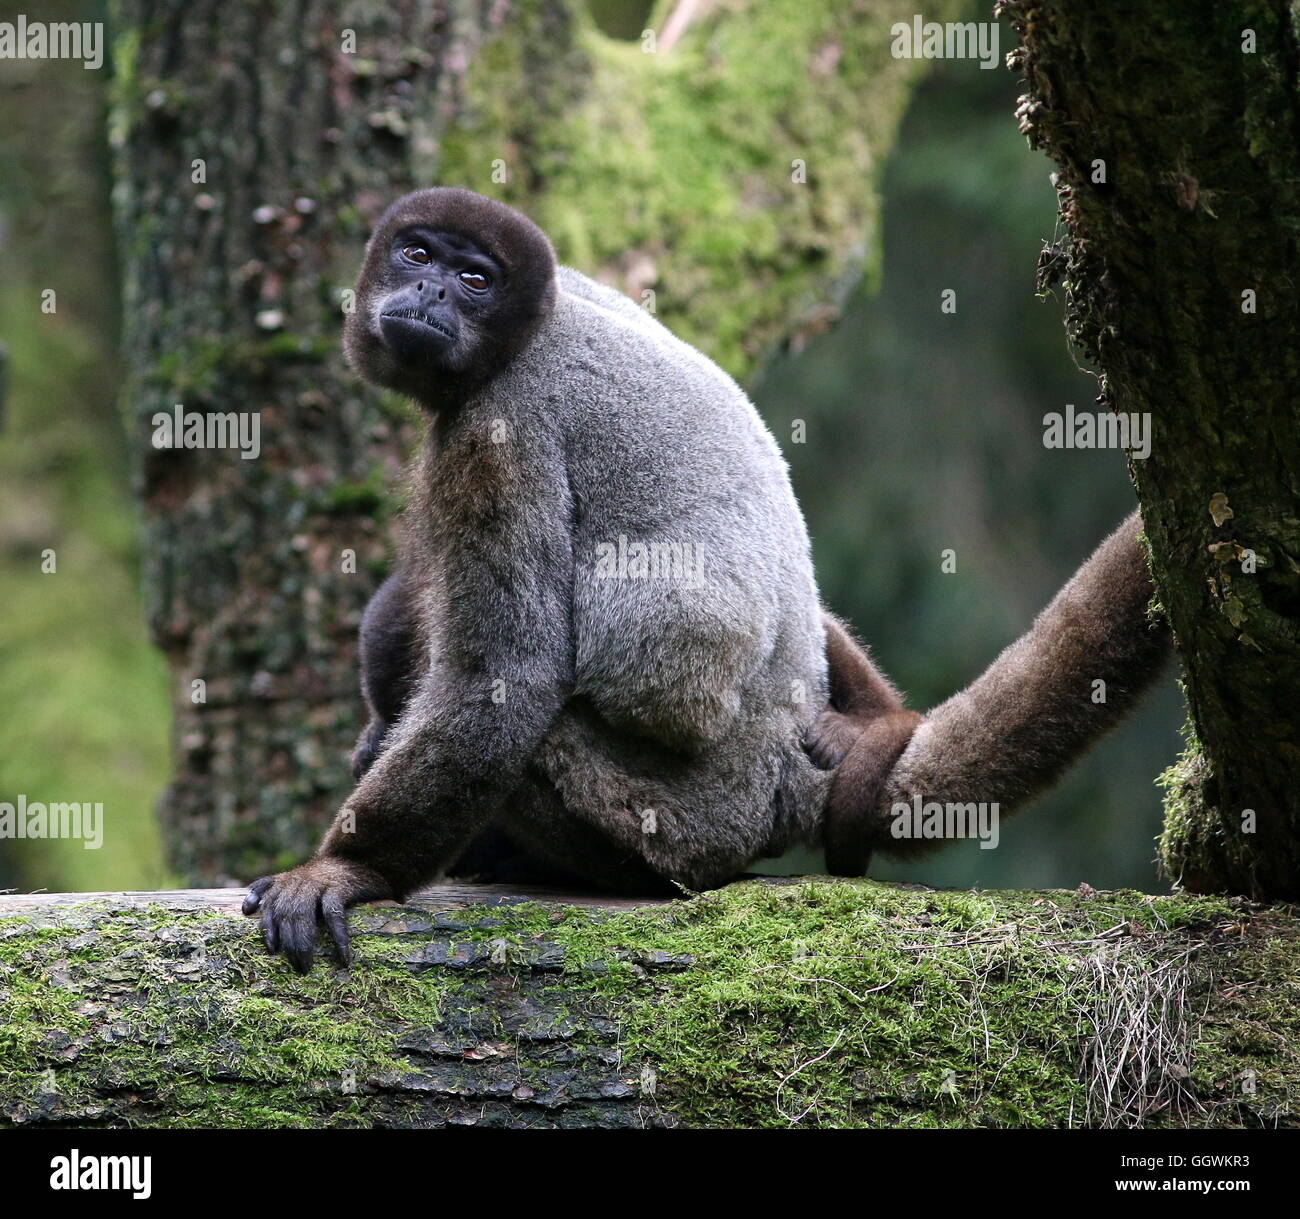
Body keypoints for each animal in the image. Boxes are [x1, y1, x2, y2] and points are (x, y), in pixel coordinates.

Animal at [244, 187, 1168, 972]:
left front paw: (347, 871)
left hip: (678, 824)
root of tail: (781, 778)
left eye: (474, 281)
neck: (531, 331)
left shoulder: (498, 431)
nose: (432, 292)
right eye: (417, 253)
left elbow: (504, 681)